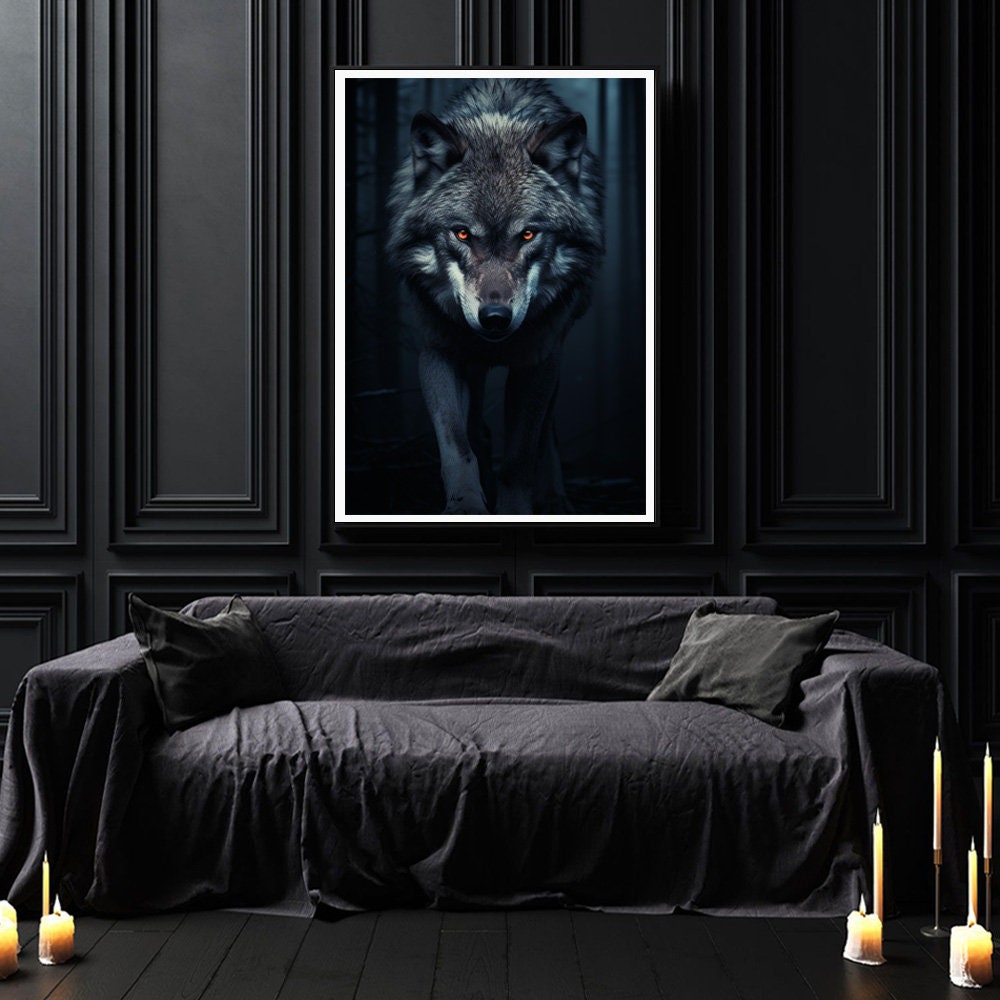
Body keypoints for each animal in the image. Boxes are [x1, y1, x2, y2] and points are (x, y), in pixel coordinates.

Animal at [386, 79, 604, 515]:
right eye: (462, 233)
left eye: (528, 234)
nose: (495, 317)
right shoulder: (437, 352)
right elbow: (457, 444)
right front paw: (466, 506)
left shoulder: (539, 360)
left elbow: (519, 459)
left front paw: (517, 509)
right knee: (478, 430)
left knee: (546, 435)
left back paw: (555, 499)